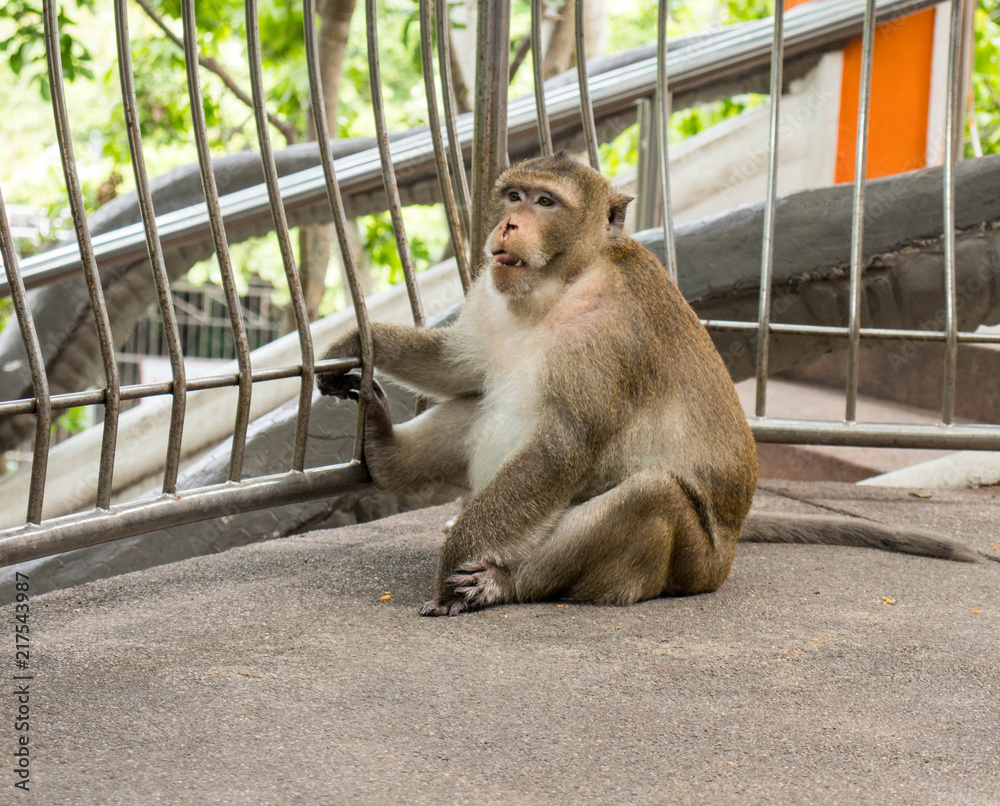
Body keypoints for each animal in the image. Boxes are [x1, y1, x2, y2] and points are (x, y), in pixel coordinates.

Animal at [317, 154, 984, 617]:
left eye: (545, 201)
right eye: (513, 194)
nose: (508, 223)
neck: (559, 286)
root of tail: (729, 552)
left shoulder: (612, 333)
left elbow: (563, 444)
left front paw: (454, 564)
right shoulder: (493, 289)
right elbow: (459, 365)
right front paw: (348, 343)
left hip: (688, 564)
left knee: (652, 497)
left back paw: (503, 583)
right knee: (475, 401)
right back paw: (386, 451)